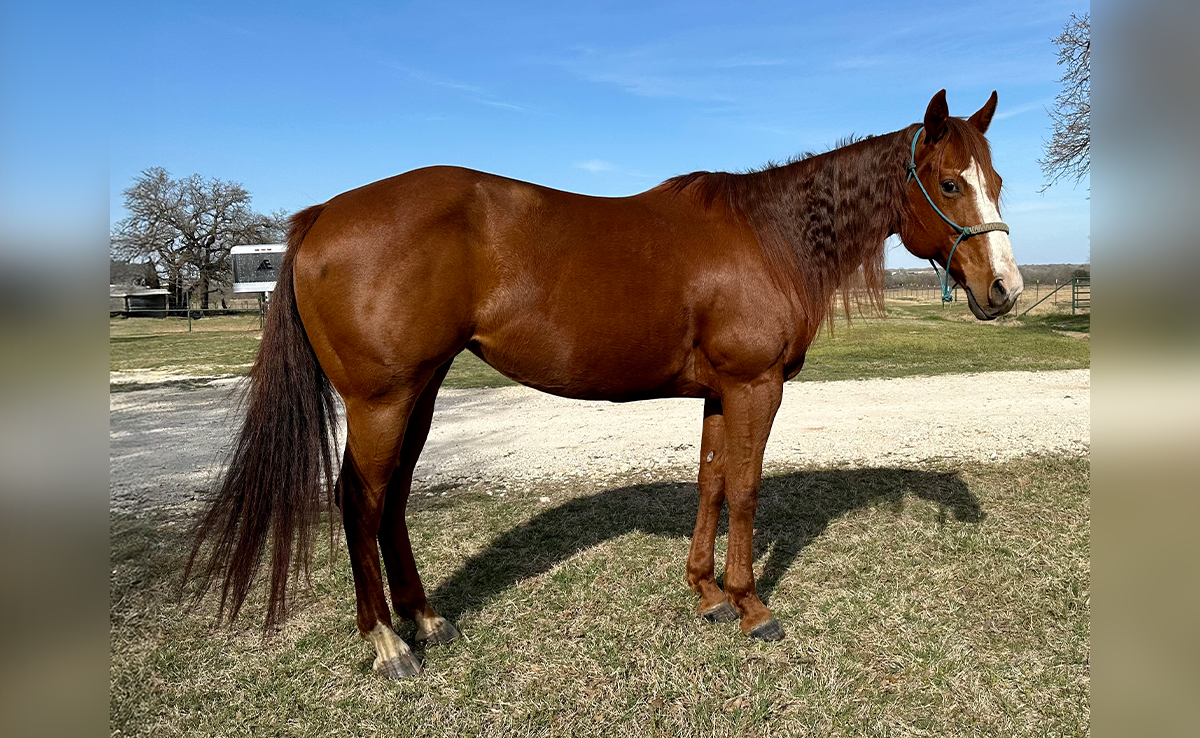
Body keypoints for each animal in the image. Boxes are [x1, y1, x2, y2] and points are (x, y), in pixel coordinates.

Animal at [187, 90, 1022, 679]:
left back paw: (426, 620)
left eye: (998, 180)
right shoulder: (755, 386)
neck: (771, 237)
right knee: (358, 502)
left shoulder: (719, 391)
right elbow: (747, 489)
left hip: (418, 394)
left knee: (391, 501)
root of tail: (324, 213)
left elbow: (711, 483)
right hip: (380, 401)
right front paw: (751, 606)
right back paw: (388, 644)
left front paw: (706, 594)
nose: (1005, 290)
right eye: (949, 183)